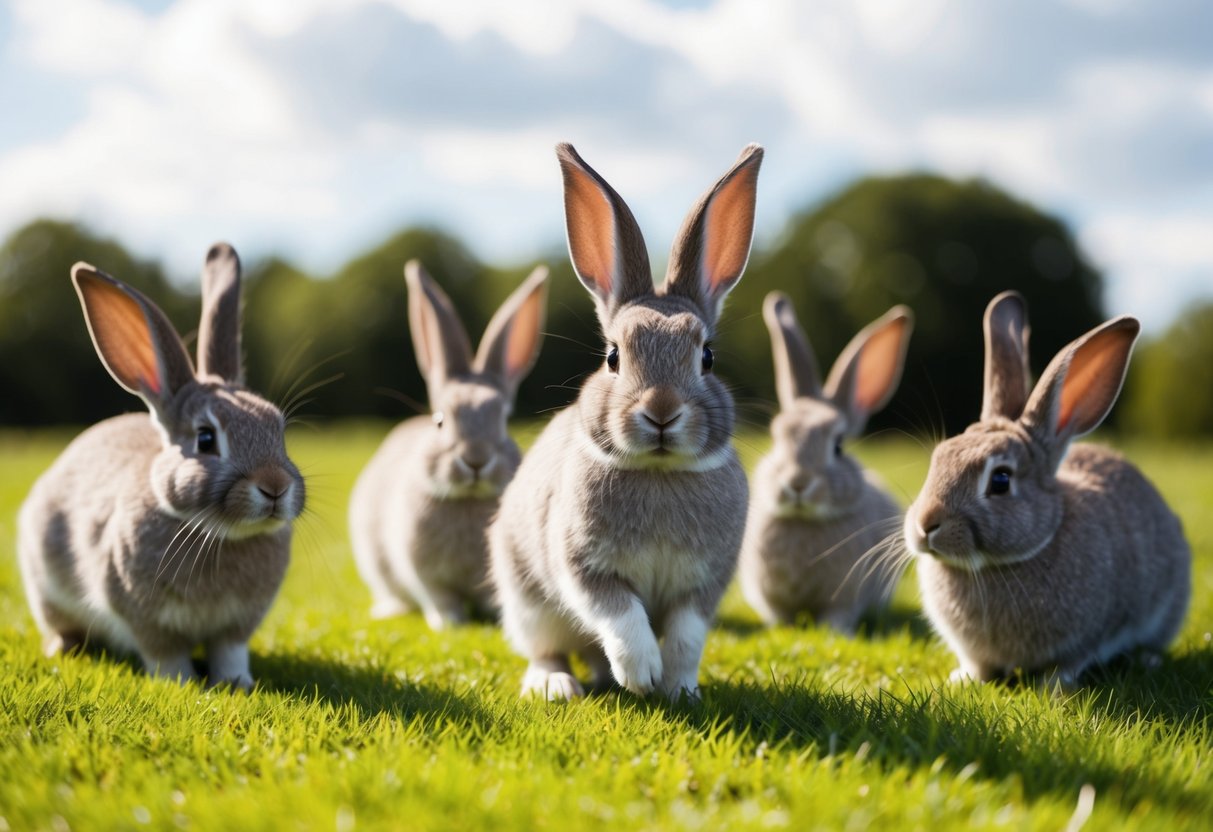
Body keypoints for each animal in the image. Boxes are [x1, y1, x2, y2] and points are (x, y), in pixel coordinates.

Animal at [17, 244, 305, 689]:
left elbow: (230, 652)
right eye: (205, 439)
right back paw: (64, 647)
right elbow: (164, 654)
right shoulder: (143, 615)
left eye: (278, 428)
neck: (215, 533)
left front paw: (236, 683)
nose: (275, 487)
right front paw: (181, 683)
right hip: (44, 587)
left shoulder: (236, 628)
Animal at [349, 260, 548, 630]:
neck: (467, 500)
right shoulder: (423, 574)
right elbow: (440, 599)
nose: (475, 460)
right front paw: (449, 623)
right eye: (440, 420)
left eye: (503, 420)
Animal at [489, 142, 763, 700]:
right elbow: (620, 614)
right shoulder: (583, 565)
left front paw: (679, 687)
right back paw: (556, 685)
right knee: (547, 649)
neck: (658, 472)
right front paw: (641, 674)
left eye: (707, 357)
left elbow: (686, 634)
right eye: (613, 356)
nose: (661, 411)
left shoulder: (702, 587)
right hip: (526, 600)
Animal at [739, 293, 914, 633]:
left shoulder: (845, 599)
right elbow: (777, 615)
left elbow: (838, 617)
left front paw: (834, 632)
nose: (797, 484)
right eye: (777, 437)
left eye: (838, 446)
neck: (804, 521)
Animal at [904, 291, 1190, 688]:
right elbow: (978, 665)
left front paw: (1054, 688)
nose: (926, 524)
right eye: (939, 457)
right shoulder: (973, 652)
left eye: (1001, 480)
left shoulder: (1089, 636)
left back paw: (1146, 659)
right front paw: (963, 680)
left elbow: (1070, 662)